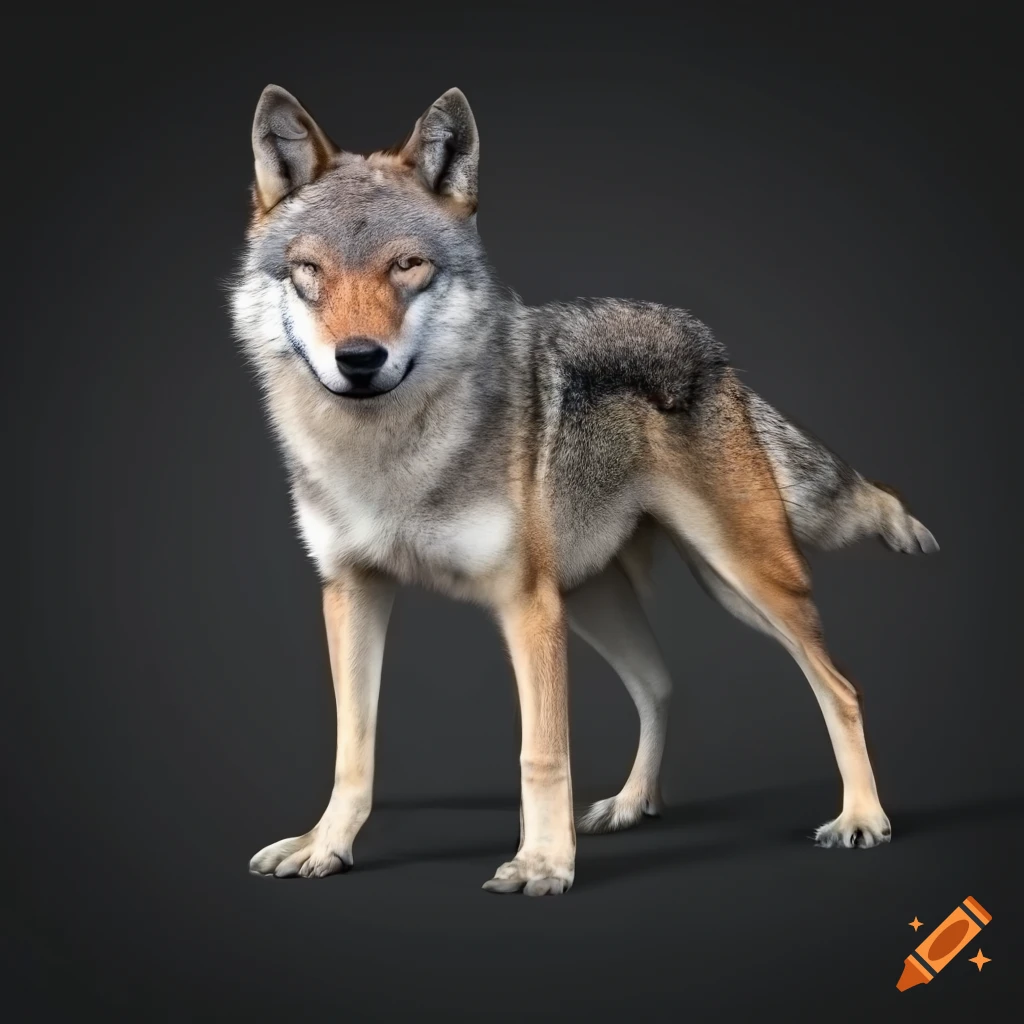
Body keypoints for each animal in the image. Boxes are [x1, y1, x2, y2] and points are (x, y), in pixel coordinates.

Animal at [231, 85, 938, 896]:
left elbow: (542, 754)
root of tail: (705, 341)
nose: (358, 358)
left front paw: (543, 862)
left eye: (407, 265)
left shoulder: (526, 605)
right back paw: (633, 804)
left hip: (742, 584)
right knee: (661, 684)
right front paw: (326, 845)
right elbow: (354, 749)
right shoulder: (352, 591)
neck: (390, 459)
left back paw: (861, 818)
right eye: (308, 269)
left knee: (840, 688)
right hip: (600, 596)